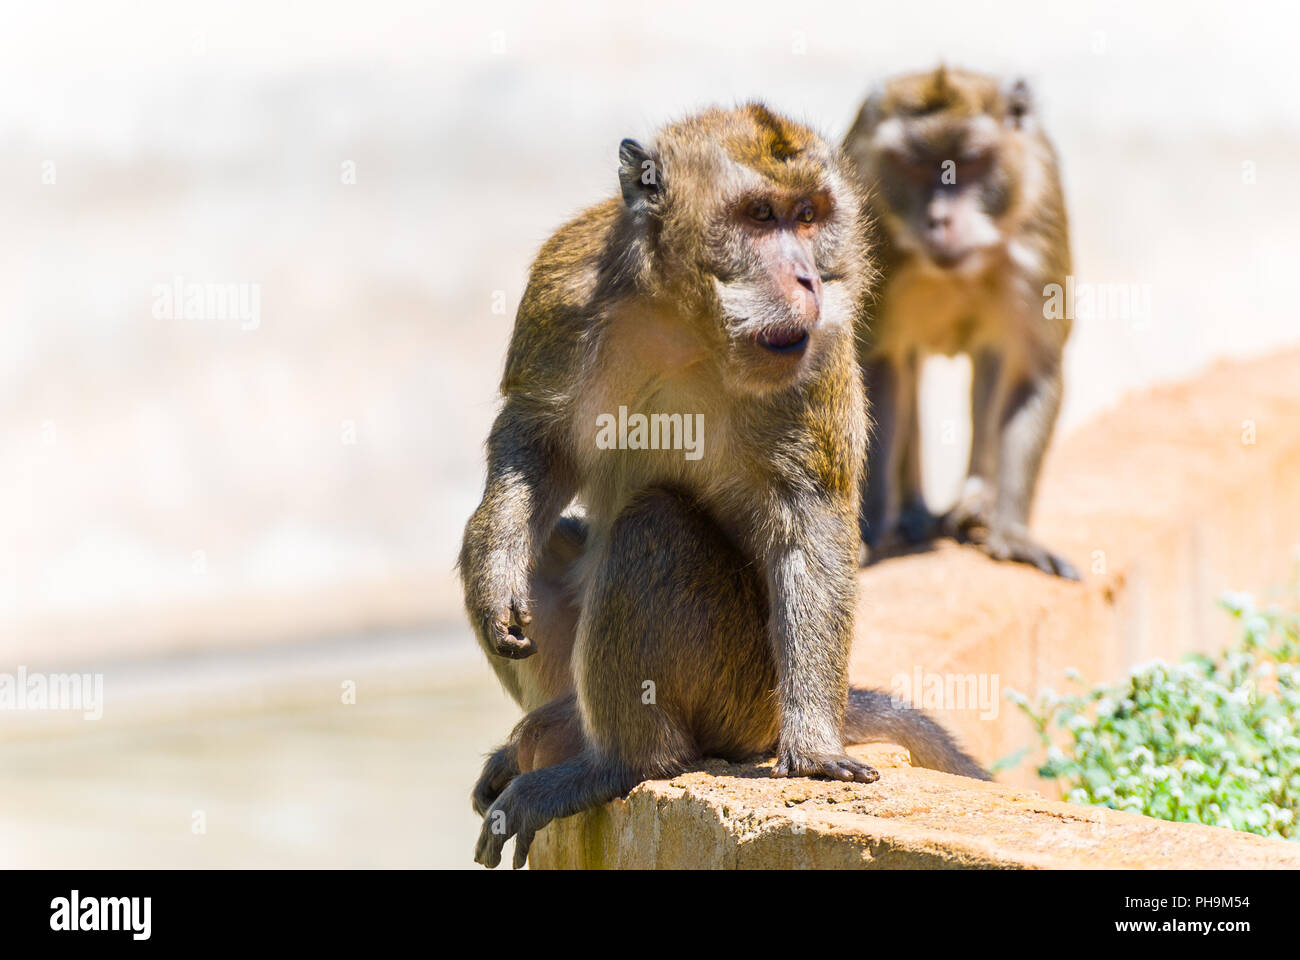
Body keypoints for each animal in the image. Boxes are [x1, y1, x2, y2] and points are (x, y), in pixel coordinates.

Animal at [458, 104, 990, 869]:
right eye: (760, 216)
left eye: (808, 216)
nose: (808, 280)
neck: (691, 323)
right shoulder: (563, 289)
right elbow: (536, 436)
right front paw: (495, 567)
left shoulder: (822, 348)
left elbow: (809, 520)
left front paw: (816, 745)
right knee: (562, 545)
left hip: (743, 692)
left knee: (654, 529)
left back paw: (621, 765)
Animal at [841, 66, 1079, 580]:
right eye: (914, 165)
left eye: (969, 162)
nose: (939, 220)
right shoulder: (875, 240)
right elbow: (879, 366)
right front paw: (872, 531)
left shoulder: (1036, 232)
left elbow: (1030, 369)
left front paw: (1012, 533)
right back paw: (913, 514)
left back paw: (976, 505)